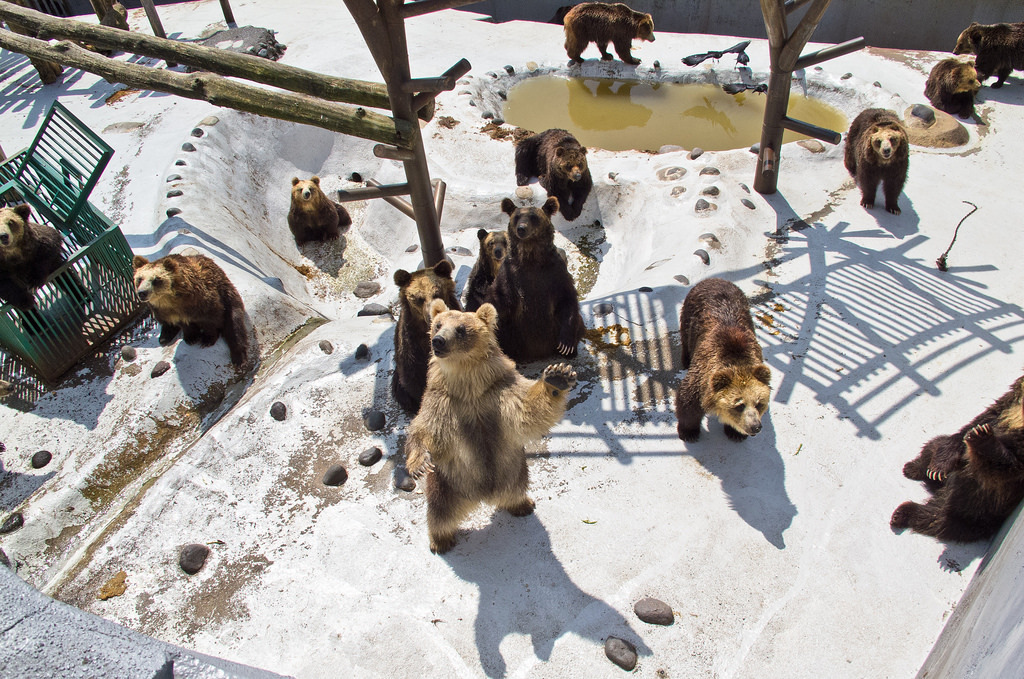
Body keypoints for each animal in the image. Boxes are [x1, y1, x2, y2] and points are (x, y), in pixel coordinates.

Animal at [404, 299, 577, 553]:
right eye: (437, 324)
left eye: (461, 329)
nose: (438, 341)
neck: (469, 385)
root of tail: (481, 496)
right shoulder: (441, 402)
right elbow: (424, 429)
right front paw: (419, 463)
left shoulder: (499, 391)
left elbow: (528, 410)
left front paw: (558, 376)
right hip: (447, 484)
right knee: (439, 513)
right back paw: (440, 541)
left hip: (513, 471)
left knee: (516, 489)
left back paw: (522, 504)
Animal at [485, 197, 586, 362]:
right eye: (517, 217)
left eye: (533, 217)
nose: (521, 228)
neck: (531, 259)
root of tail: (538, 353)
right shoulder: (509, 273)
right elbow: (499, 297)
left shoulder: (556, 271)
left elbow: (567, 298)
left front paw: (566, 345)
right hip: (515, 333)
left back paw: (570, 352)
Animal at [675, 278, 771, 443]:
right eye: (740, 405)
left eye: (759, 404)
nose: (755, 427)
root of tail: (714, 279)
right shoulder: (701, 377)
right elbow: (688, 402)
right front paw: (689, 432)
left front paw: (735, 433)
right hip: (689, 317)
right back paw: (685, 360)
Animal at [891, 375, 1024, 543]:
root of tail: (942, 489)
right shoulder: (1010, 400)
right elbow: (984, 418)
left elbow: (1009, 462)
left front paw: (983, 438)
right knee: (935, 446)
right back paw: (917, 469)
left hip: (975, 504)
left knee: (937, 518)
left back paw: (904, 513)